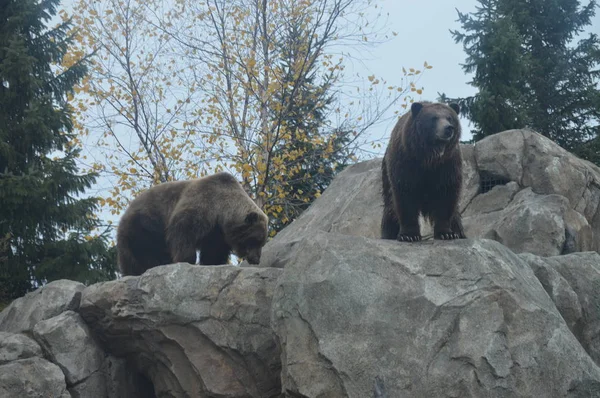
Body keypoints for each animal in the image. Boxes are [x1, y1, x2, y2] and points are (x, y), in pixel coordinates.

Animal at [116, 171, 268, 276]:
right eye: (255, 240)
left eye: (262, 242)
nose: (256, 259)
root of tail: (125, 213)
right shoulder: (202, 206)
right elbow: (183, 234)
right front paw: (187, 260)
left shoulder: (216, 232)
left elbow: (213, 251)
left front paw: (211, 263)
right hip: (145, 224)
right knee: (146, 249)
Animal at [382, 101, 466, 241]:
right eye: (434, 118)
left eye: (449, 118)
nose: (448, 128)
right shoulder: (406, 163)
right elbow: (405, 195)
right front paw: (409, 235)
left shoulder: (447, 165)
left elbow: (446, 196)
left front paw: (446, 233)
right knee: (390, 207)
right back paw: (389, 234)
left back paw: (459, 232)